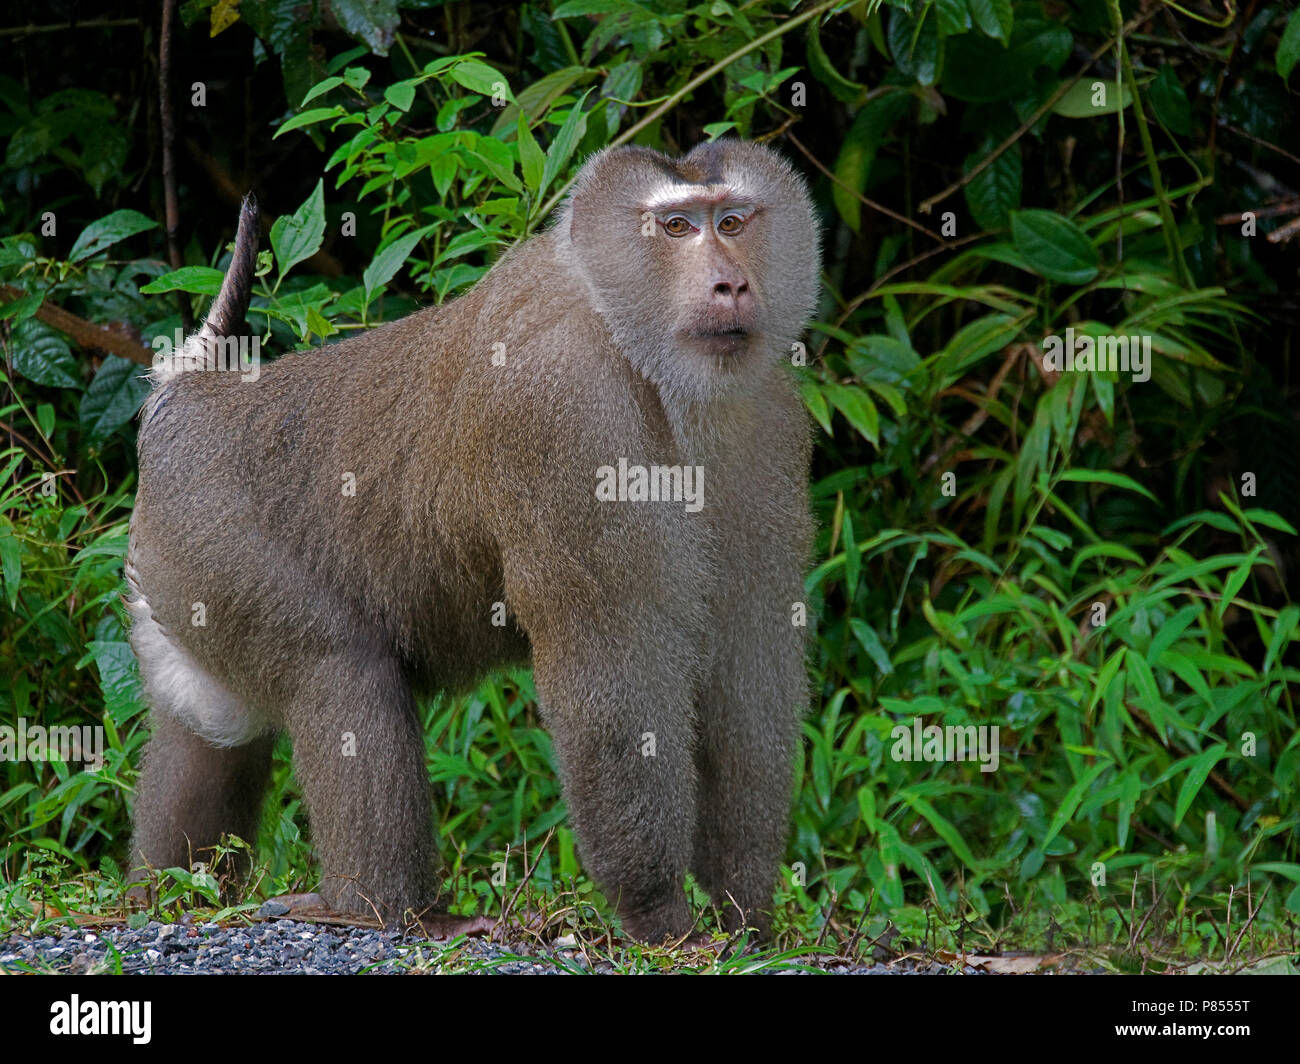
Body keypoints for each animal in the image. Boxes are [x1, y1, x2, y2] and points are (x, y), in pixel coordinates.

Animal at [125, 139, 820, 943]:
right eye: (676, 226)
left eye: (732, 220)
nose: (730, 282)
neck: (633, 346)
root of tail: (193, 391)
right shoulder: (563, 416)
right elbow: (611, 660)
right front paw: (661, 915)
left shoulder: (769, 423)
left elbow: (749, 660)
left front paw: (748, 912)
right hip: (213, 537)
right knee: (341, 665)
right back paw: (375, 908)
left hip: (180, 575)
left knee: (210, 724)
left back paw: (166, 893)